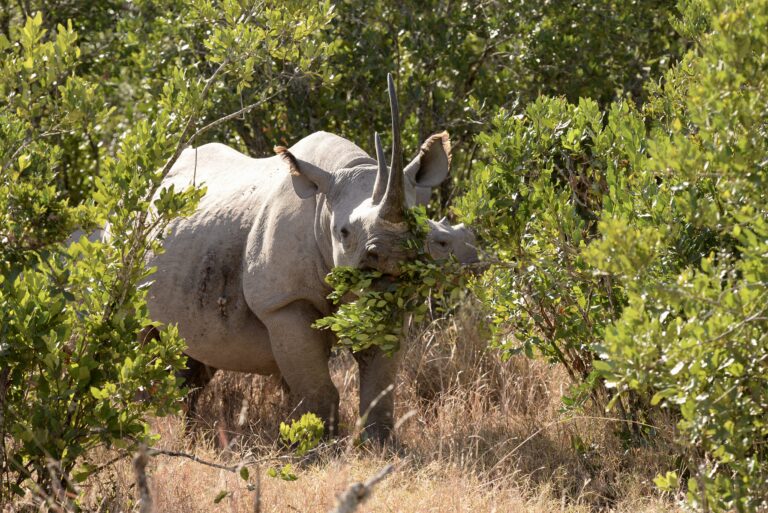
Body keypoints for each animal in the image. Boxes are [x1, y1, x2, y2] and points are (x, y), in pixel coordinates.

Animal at [146, 76, 452, 439]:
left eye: (420, 225)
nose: (393, 255)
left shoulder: (395, 301)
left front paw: (380, 443)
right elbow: (316, 385)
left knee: (193, 358)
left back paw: (191, 434)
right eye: (344, 233)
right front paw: (319, 443)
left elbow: (380, 380)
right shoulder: (282, 302)